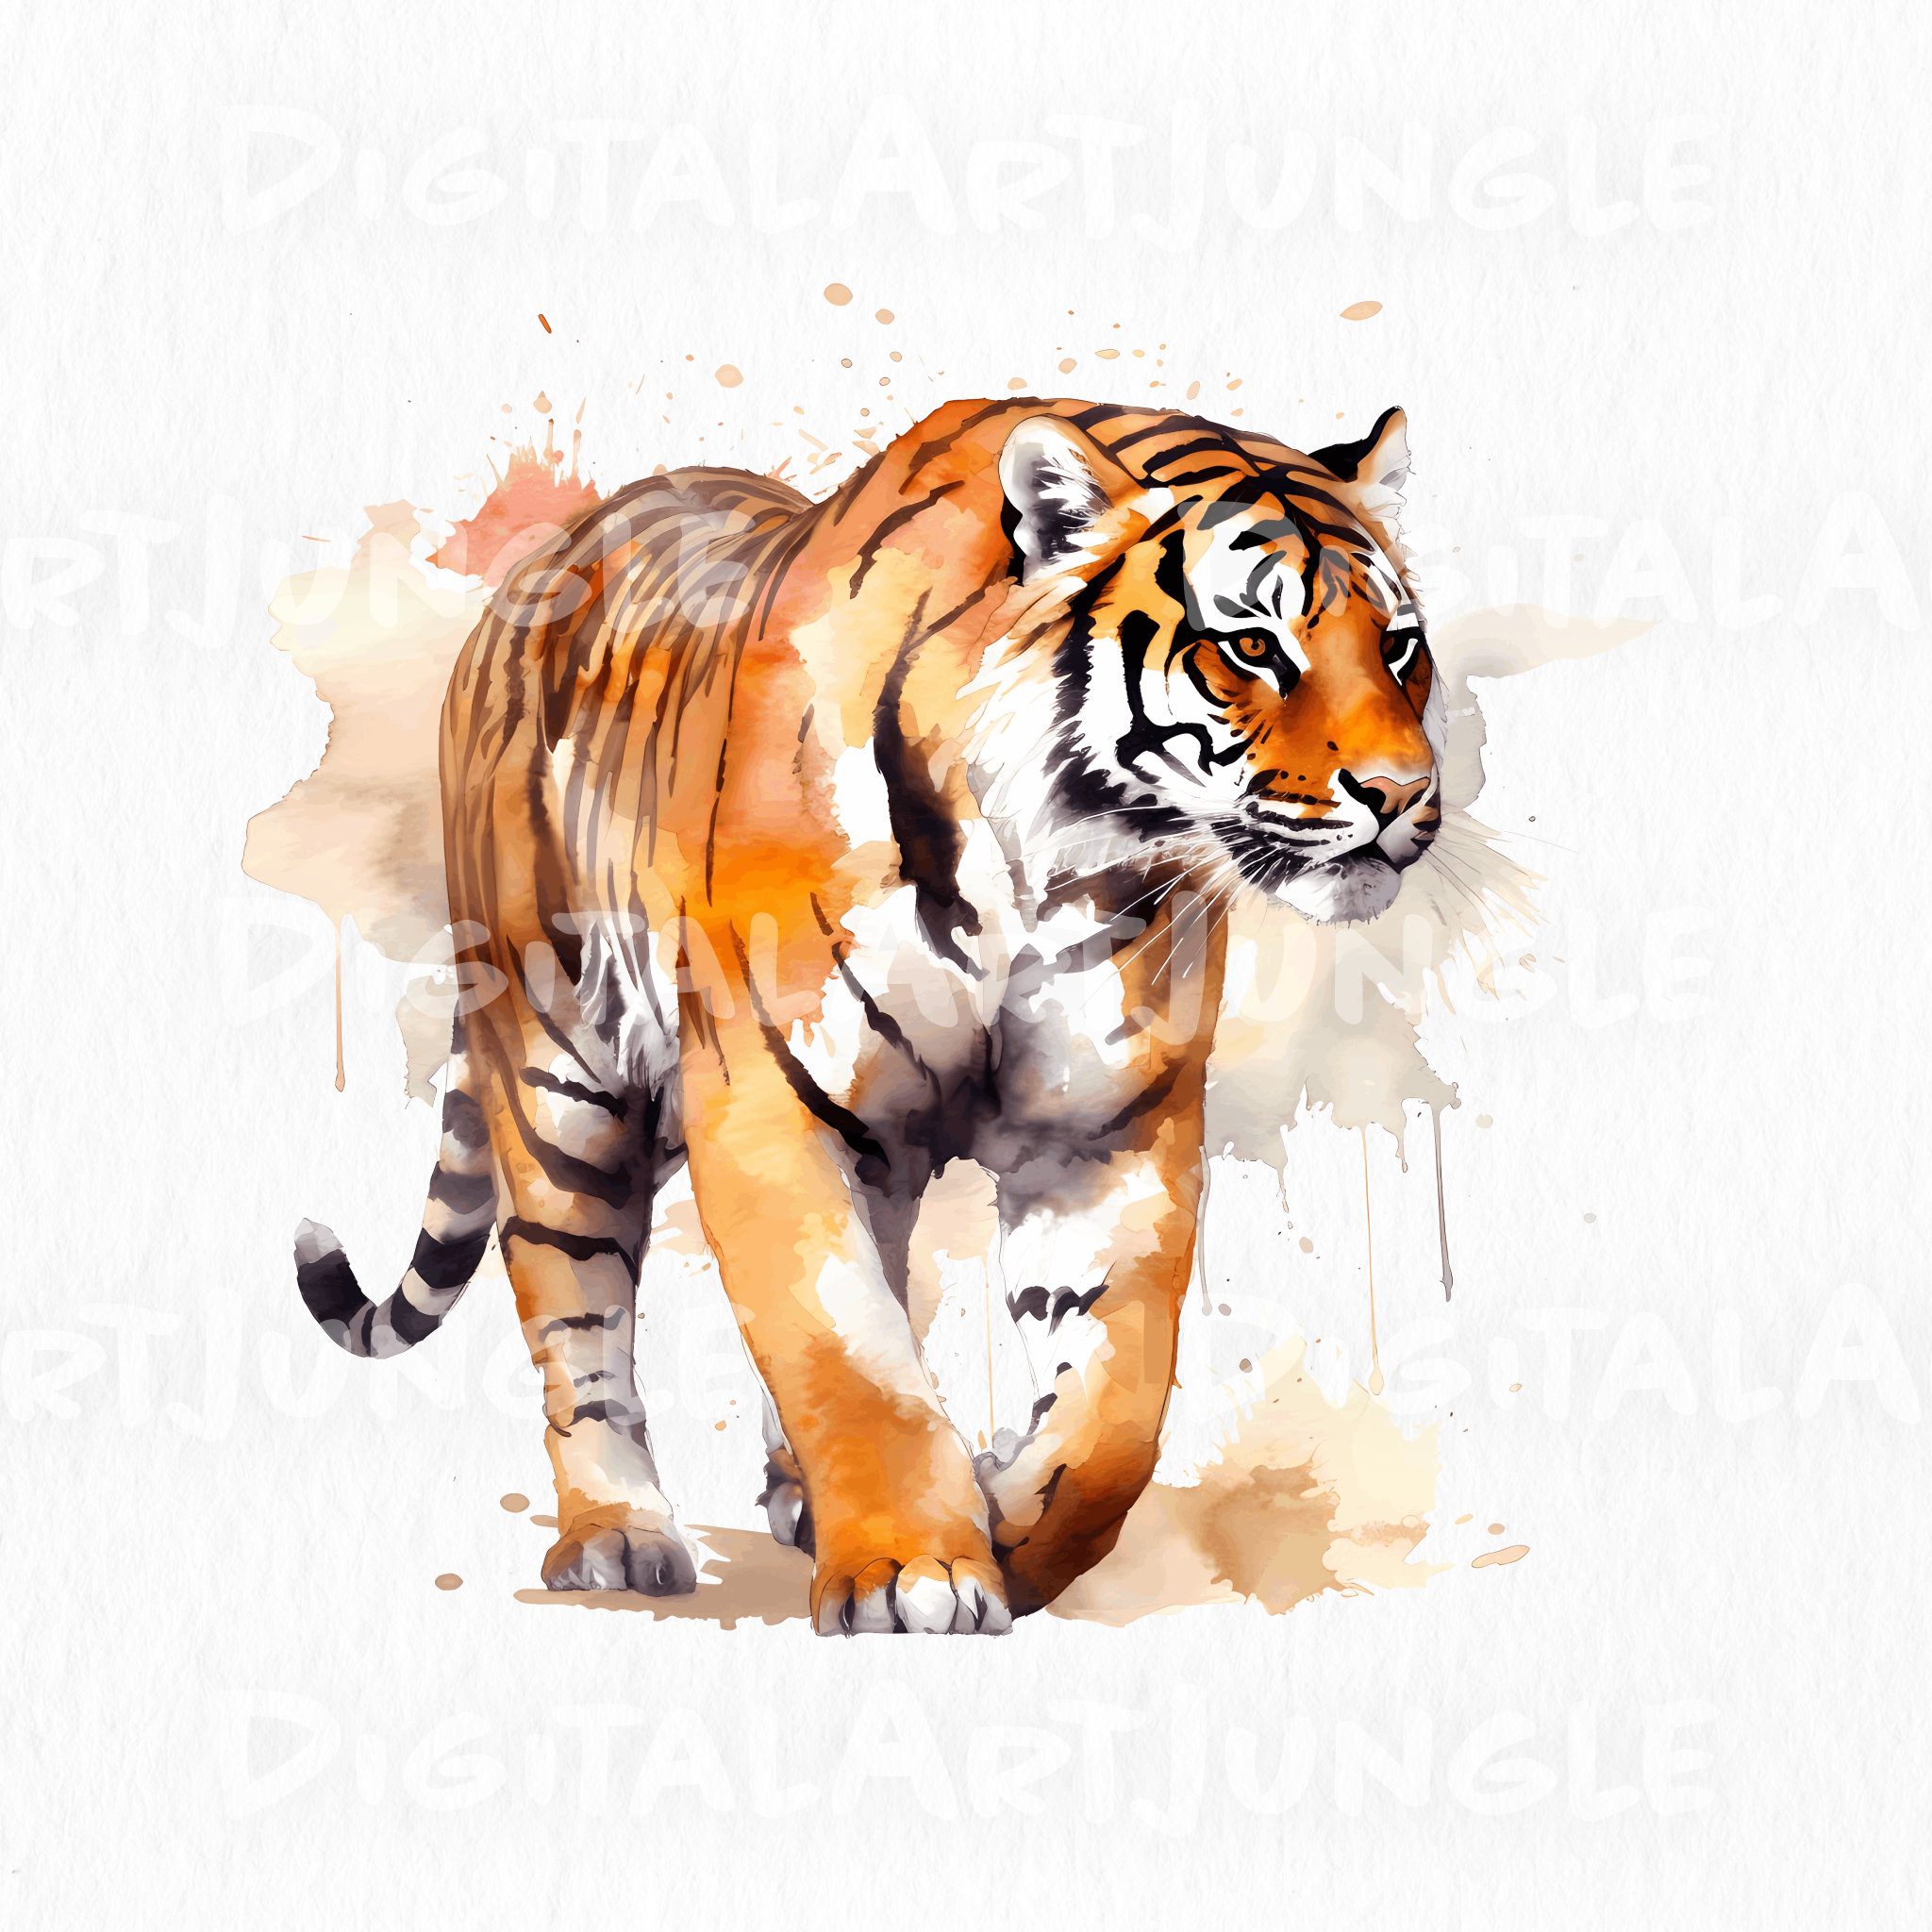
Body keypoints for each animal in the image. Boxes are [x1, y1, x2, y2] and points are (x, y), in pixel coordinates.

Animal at [292, 394, 1440, 1634]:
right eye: (1251, 647)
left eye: (1397, 646)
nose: (1405, 793)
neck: (1059, 861)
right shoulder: (765, 1102)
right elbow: (845, 1356)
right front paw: (910, 1569)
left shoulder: (1108, 1126)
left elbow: (1112, 1408)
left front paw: (1008, 1520)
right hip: (559, 1082)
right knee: (576, 1313)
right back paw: (613, 1534)